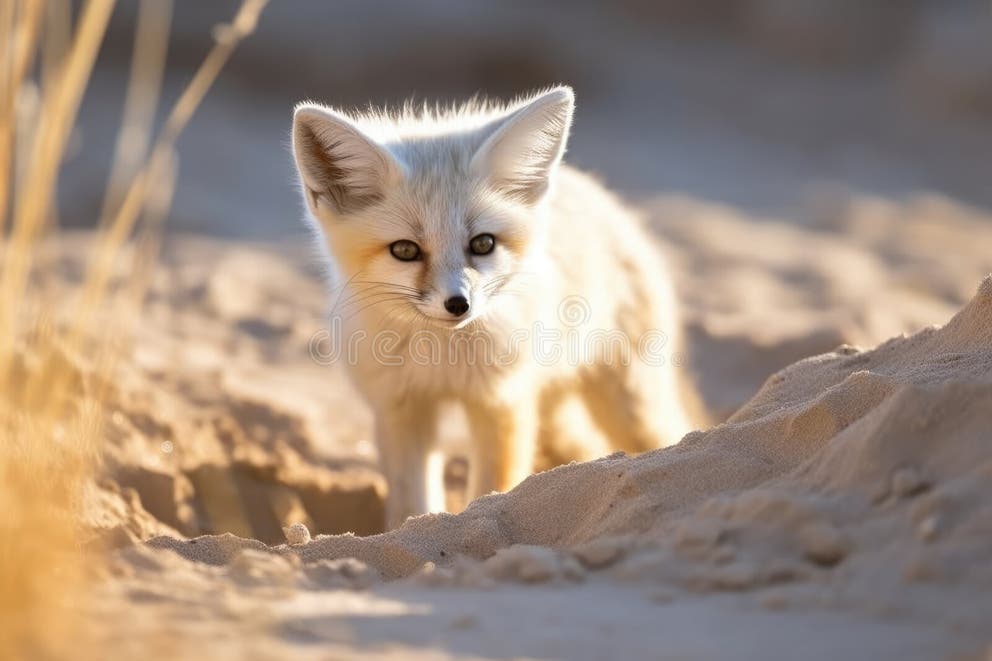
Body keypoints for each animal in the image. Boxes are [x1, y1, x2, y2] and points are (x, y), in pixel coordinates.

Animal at [291, 86, 695, 529]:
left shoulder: (500, 401)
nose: (458, 304)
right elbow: (411, 502)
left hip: (629, 403)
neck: (442, 361)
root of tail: (599, 195)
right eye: (405, 250)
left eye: (482, 244)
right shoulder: (401, 406)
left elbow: (491, 489)